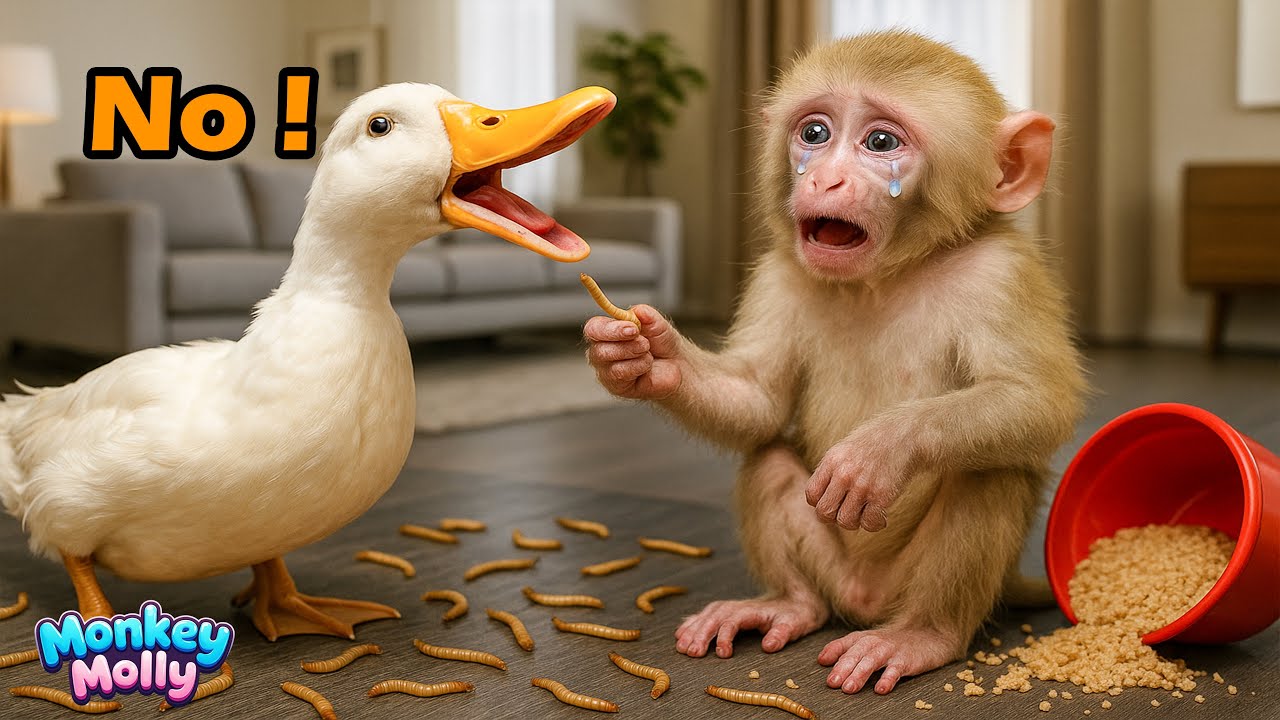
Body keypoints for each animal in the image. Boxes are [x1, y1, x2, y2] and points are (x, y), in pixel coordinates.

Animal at [583, 31, 1086, 696]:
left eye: (881, 143)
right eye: (815, 133)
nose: (823, 180)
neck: (885, 276)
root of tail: (865, 601)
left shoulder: (1001, 275)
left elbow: (1038, 399)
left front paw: (882, 449)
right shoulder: (779, 274)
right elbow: (758, 401)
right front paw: (645, 357)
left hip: (907, 585)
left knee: (989, 472)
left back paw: (922, 636)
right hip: (833, 572)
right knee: (770, 461)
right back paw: (789, 604)